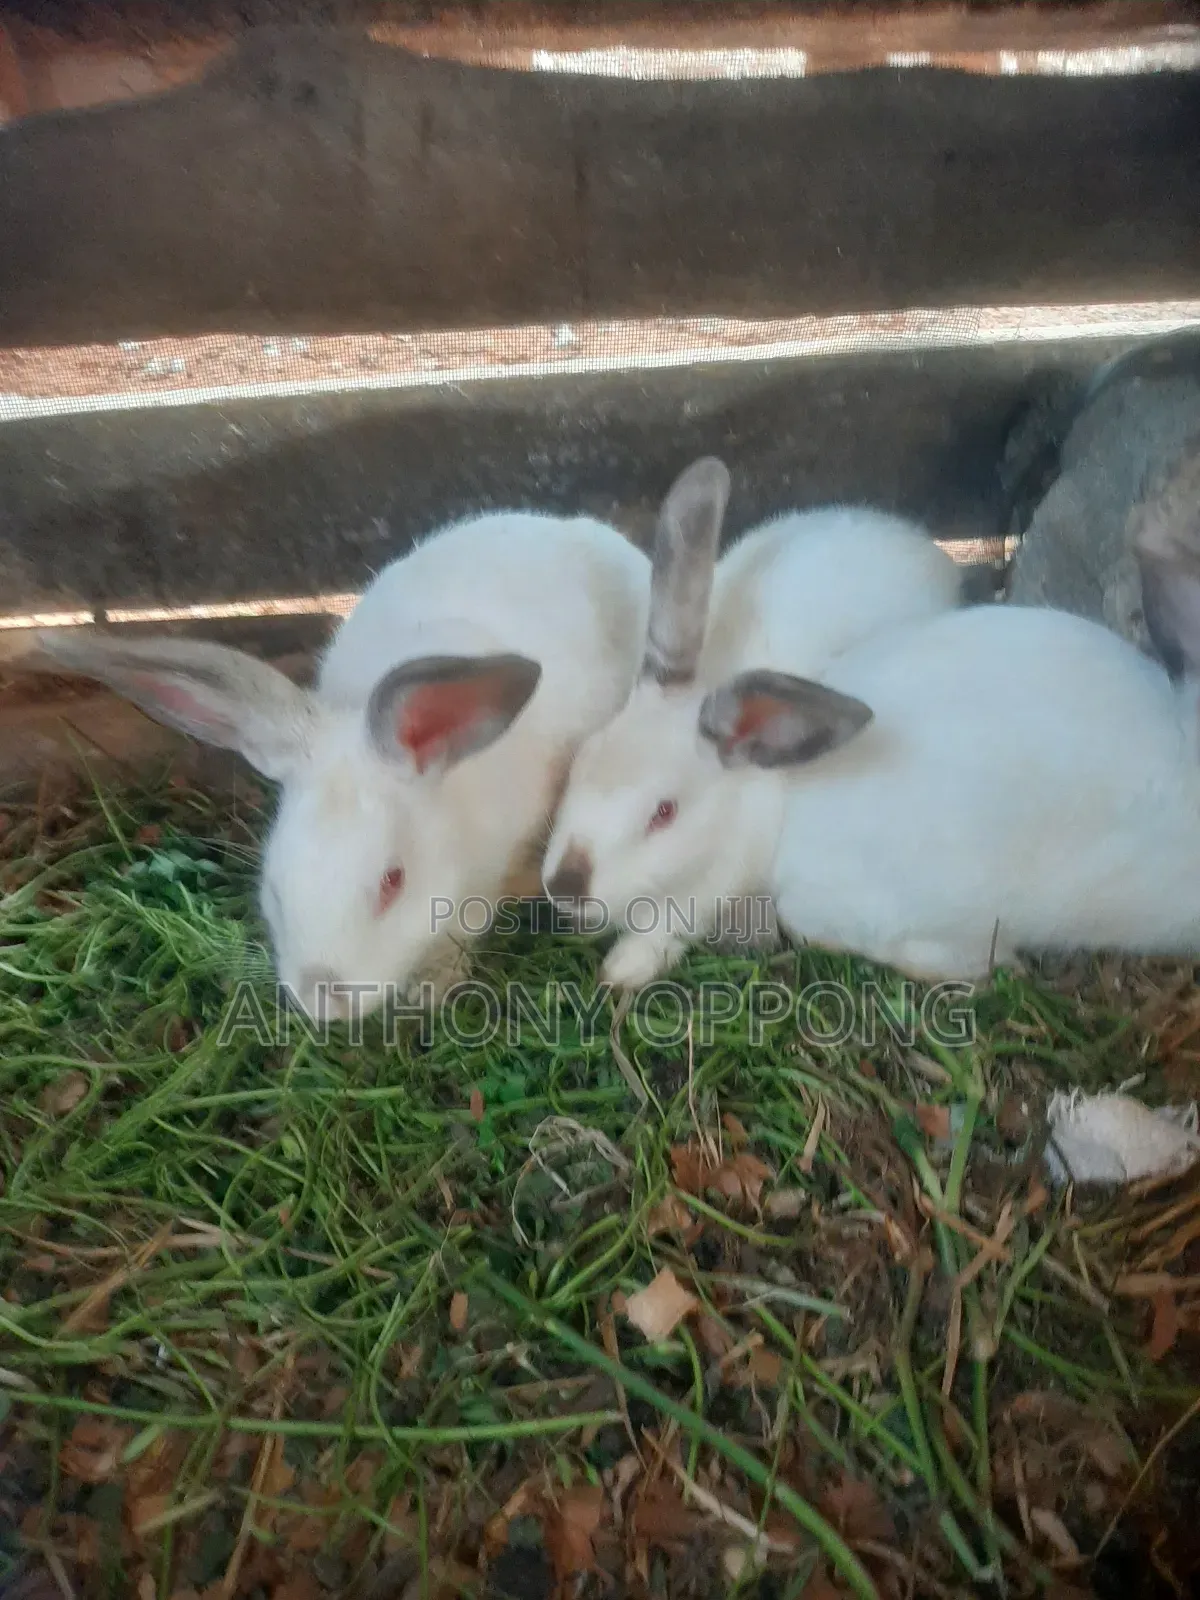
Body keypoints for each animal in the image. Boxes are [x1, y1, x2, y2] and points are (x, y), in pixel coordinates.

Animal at [542, 456, 964, 990]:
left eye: (665, 812)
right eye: (582, 761)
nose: (565, 887)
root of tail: (922, 543)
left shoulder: (709, 891)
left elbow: (665, 930)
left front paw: (621, 972)